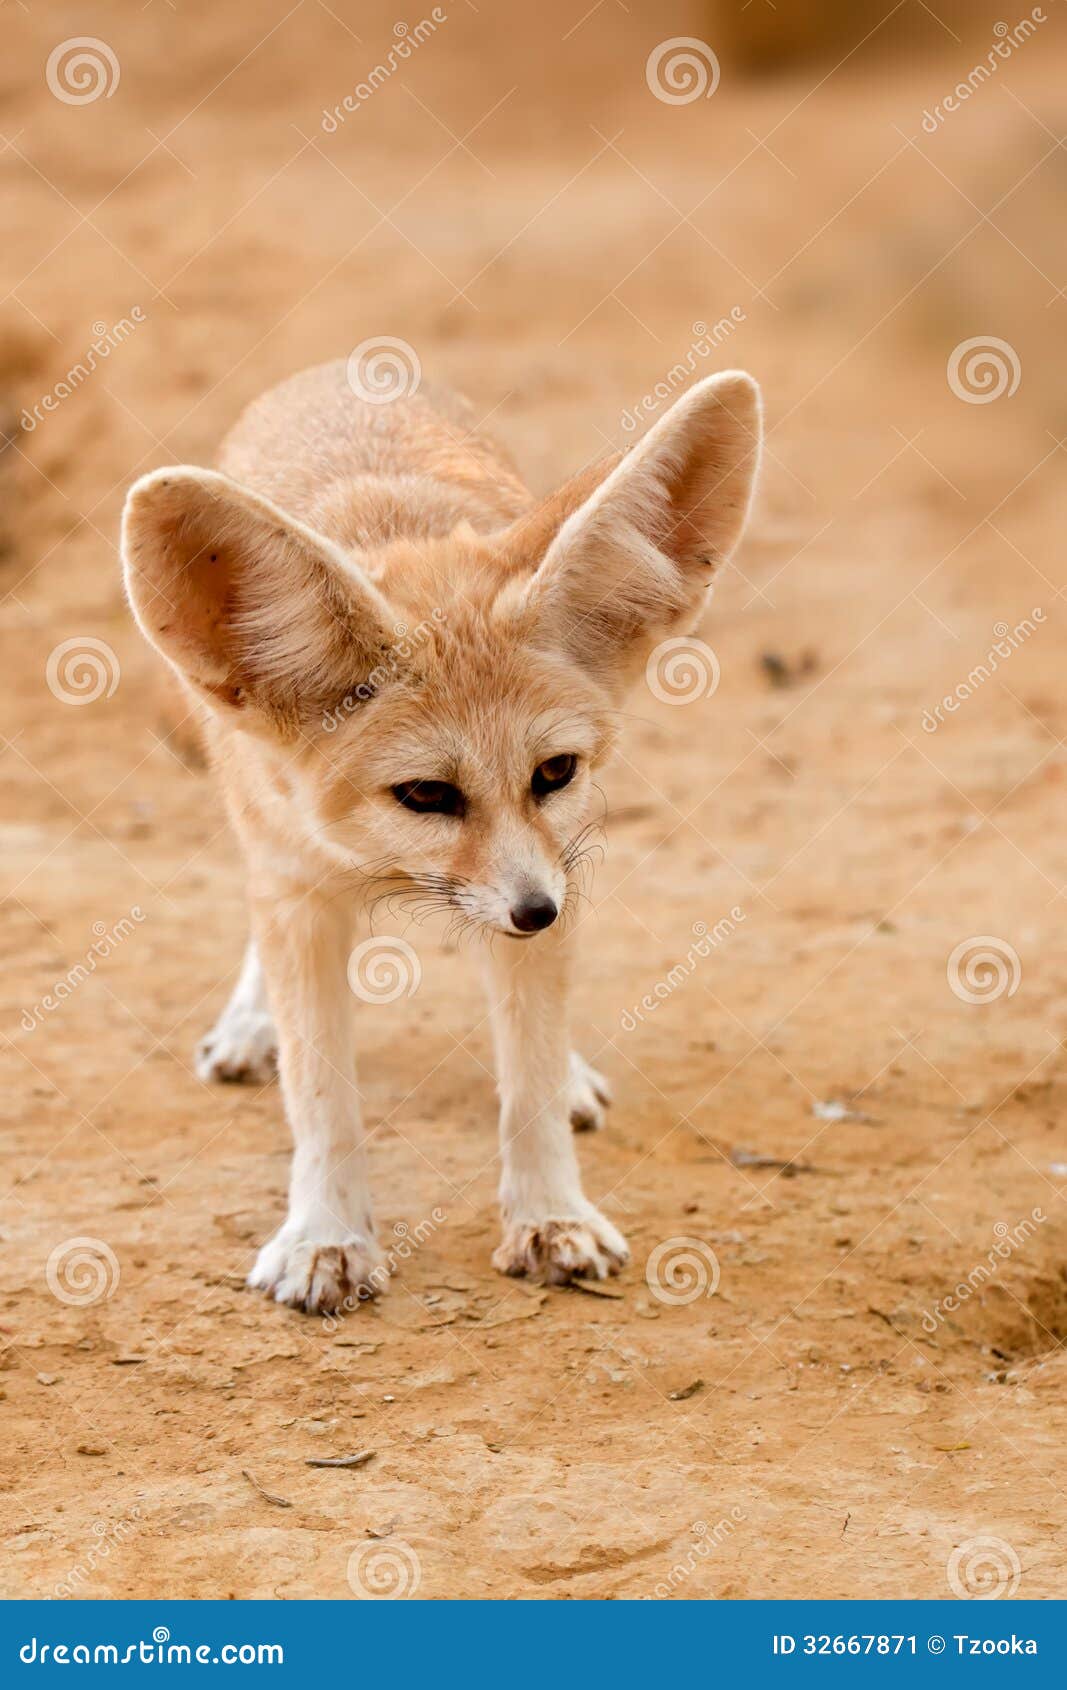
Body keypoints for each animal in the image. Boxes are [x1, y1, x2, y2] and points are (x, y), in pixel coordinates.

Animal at [120, 357, 762, 1314]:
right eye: (425, 793)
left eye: (554, 772)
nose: (535, 914)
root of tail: (346, 365)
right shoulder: (299, 889)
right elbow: (320, 1094)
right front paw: (327, 1236)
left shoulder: (554, 867)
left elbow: (527, 1077)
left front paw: (549, 1215)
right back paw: (249, 1021)